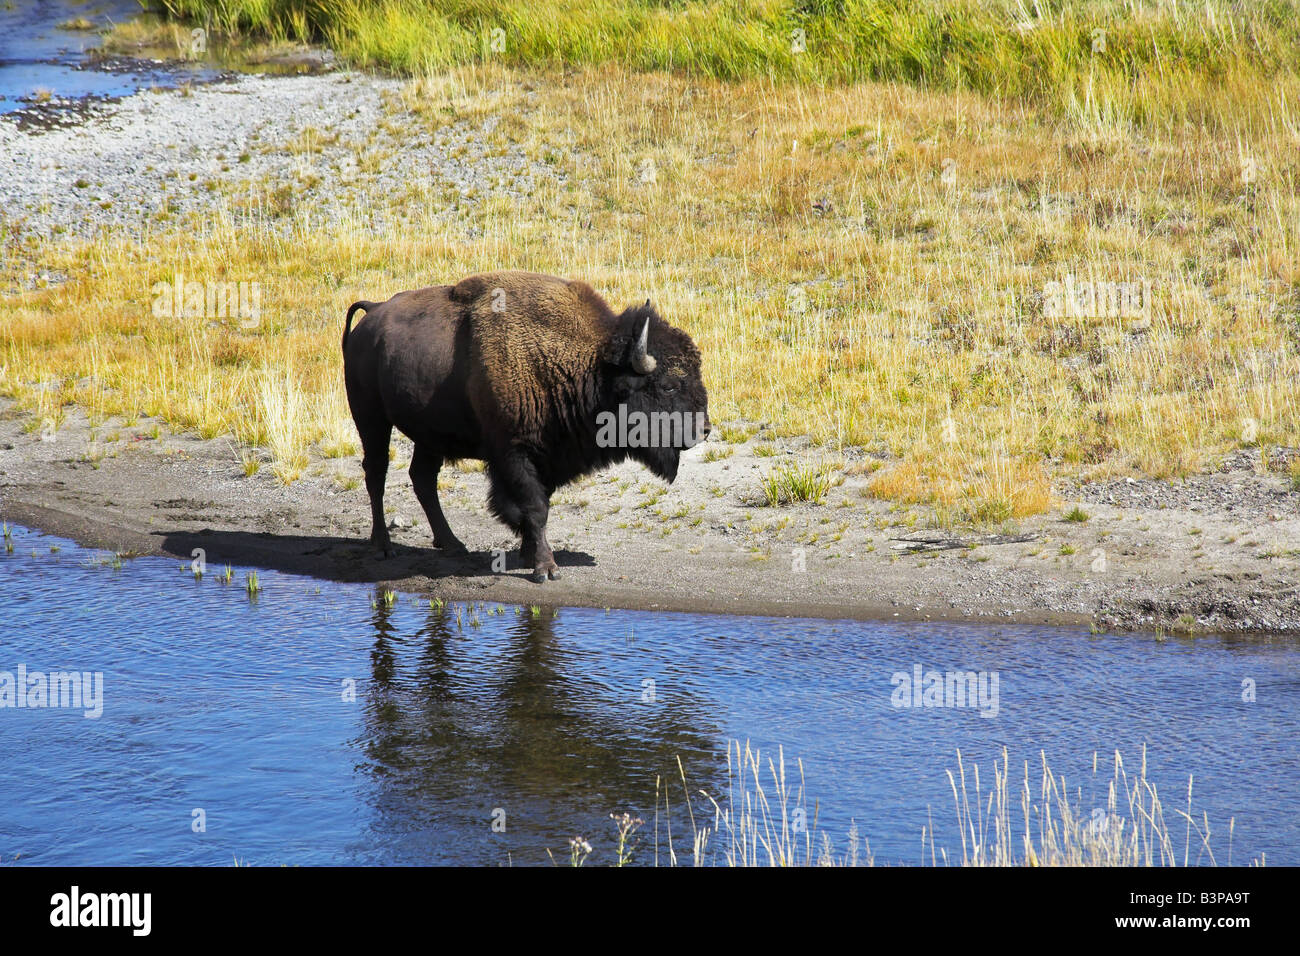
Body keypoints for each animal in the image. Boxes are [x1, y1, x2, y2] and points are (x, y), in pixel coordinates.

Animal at [342, 271, 711, 583]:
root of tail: (372, 313)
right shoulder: (514, 452)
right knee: (376, 472)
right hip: (371, 419)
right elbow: (534, 507)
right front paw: (545, 568)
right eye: (668, 385)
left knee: (422, 478)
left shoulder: (547, 457)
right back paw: (383, 546)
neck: (585, 364)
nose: (704, 430)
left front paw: (528, 553)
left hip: (428, 434)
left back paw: (452, 543)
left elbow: (535, 504)